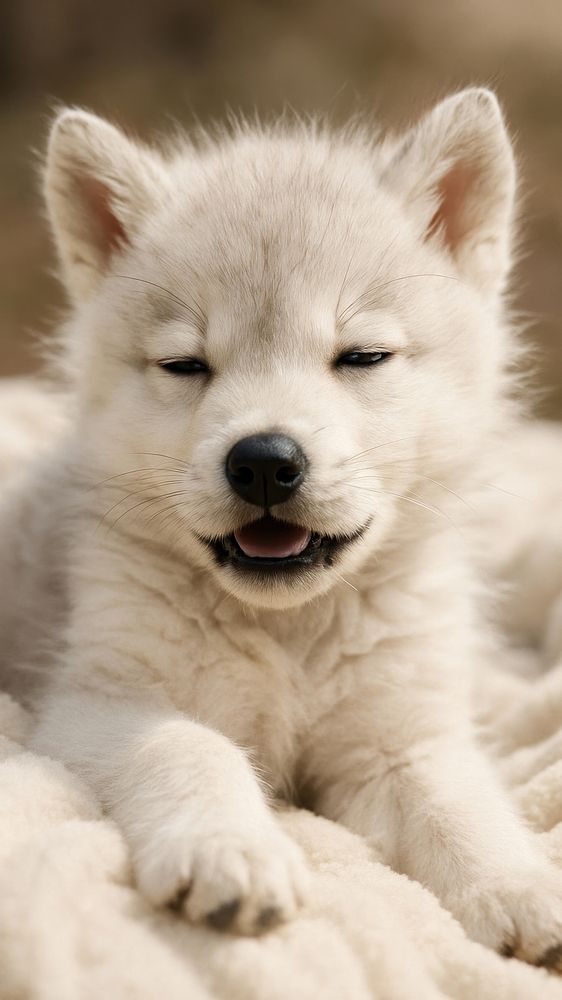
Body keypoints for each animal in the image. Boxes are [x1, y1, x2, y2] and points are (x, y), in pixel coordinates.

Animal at [2, 87, 562, 965]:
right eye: (185, 366)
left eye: (362, 356)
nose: (264, 462)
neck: (289, 634)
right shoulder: (93, 704)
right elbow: (193, 746)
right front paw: (231, 851)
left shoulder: (398, 738)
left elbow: (457, 799)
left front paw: (518, 883)